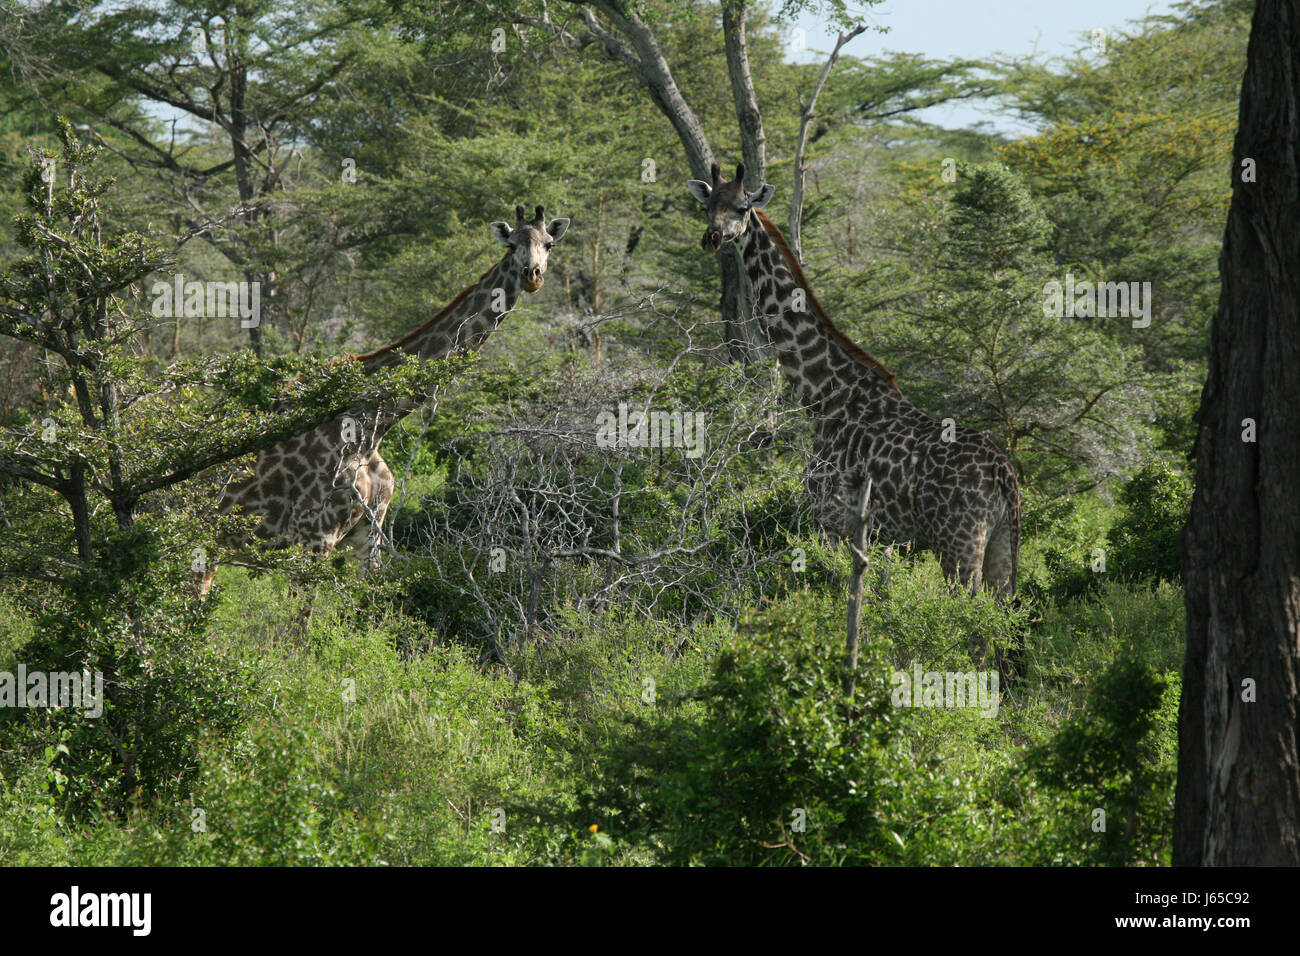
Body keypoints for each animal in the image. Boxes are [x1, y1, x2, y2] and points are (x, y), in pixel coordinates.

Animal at [198, 204, 570, 595]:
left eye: (549, 243)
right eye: (511, 245)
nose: (532, 275)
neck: (374, 426)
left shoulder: (368, 534)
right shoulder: (314, 535)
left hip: (215, 546)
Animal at [686, 164, 1020, 615]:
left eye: (741, 207)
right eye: (707, 206)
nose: (713, 237)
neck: (822, 396)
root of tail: (1004, 473)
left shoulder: (828, 520)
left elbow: (831, 593)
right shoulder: (884, 538)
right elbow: (878, 596)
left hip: (958, 541)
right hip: (1001, 543)